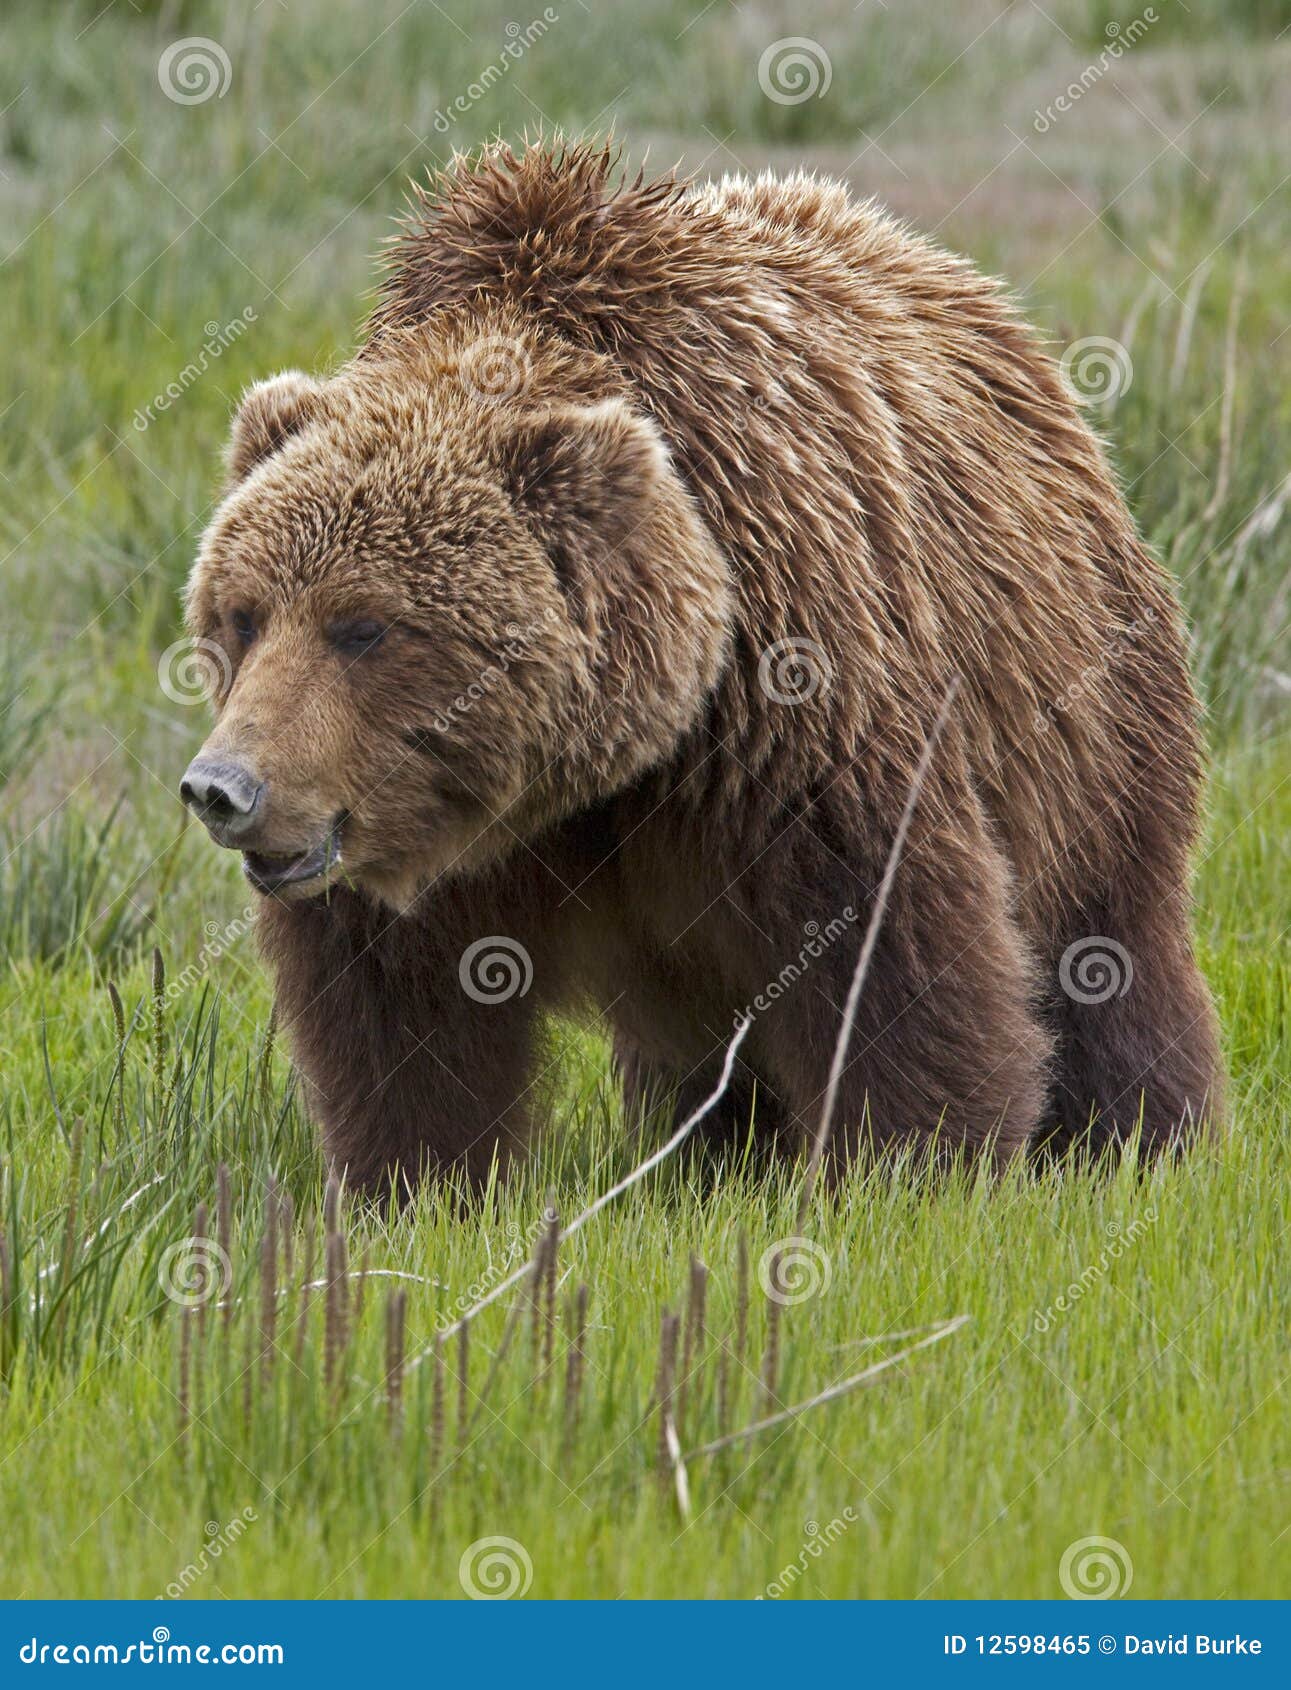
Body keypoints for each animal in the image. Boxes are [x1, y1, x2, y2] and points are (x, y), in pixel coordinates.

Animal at [179, 141, 1223, 1198]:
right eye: (242, 613)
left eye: (364, 627)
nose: (223, 787)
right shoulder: (420, 828)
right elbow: (399, 1010)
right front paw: (419, 1181)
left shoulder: (787, 706)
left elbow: (888, 940)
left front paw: (916, 1162)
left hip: (1082, 709)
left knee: (1110, 946)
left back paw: (1141, 1137)